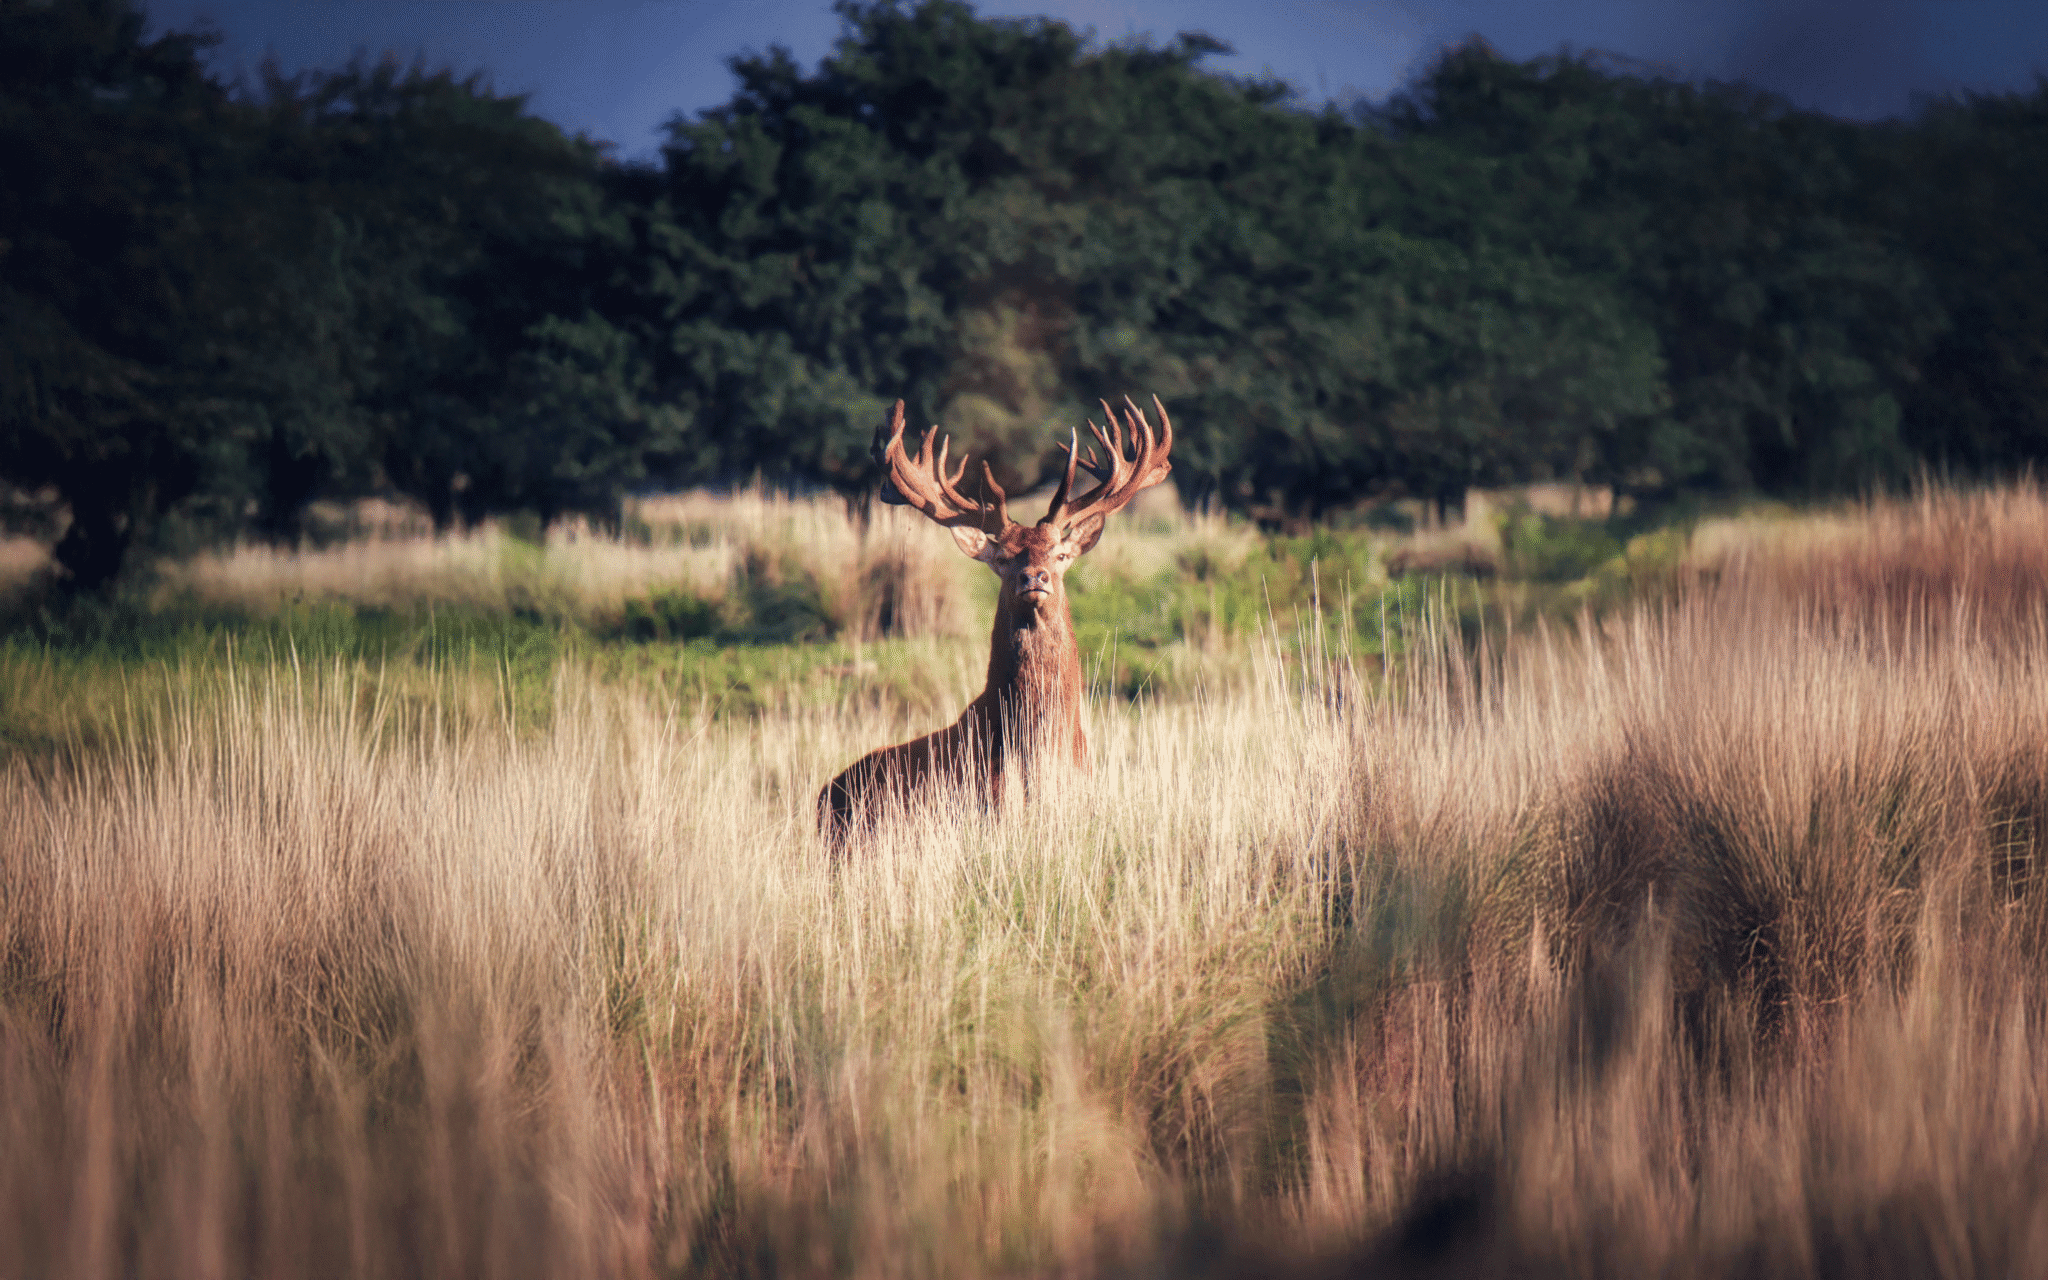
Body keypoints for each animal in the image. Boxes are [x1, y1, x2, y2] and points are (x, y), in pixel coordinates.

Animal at [818, 395, 1174, 848]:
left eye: (1060, 554)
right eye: (1003, 558)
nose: (1034, 577)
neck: (1038, 756)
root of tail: (823, 795)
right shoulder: (987, 808)